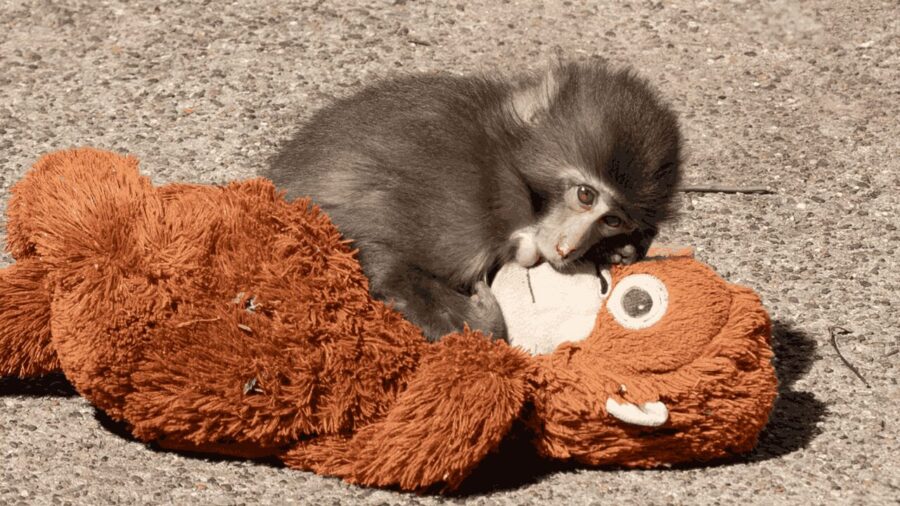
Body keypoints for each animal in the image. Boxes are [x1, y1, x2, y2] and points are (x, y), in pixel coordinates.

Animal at [263, 60, 682, 342]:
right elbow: (371, 250)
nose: (570, 247)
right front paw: (482, 320)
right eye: (585, 195)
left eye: (612, 220)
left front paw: (618, 250)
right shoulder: (457, 202)